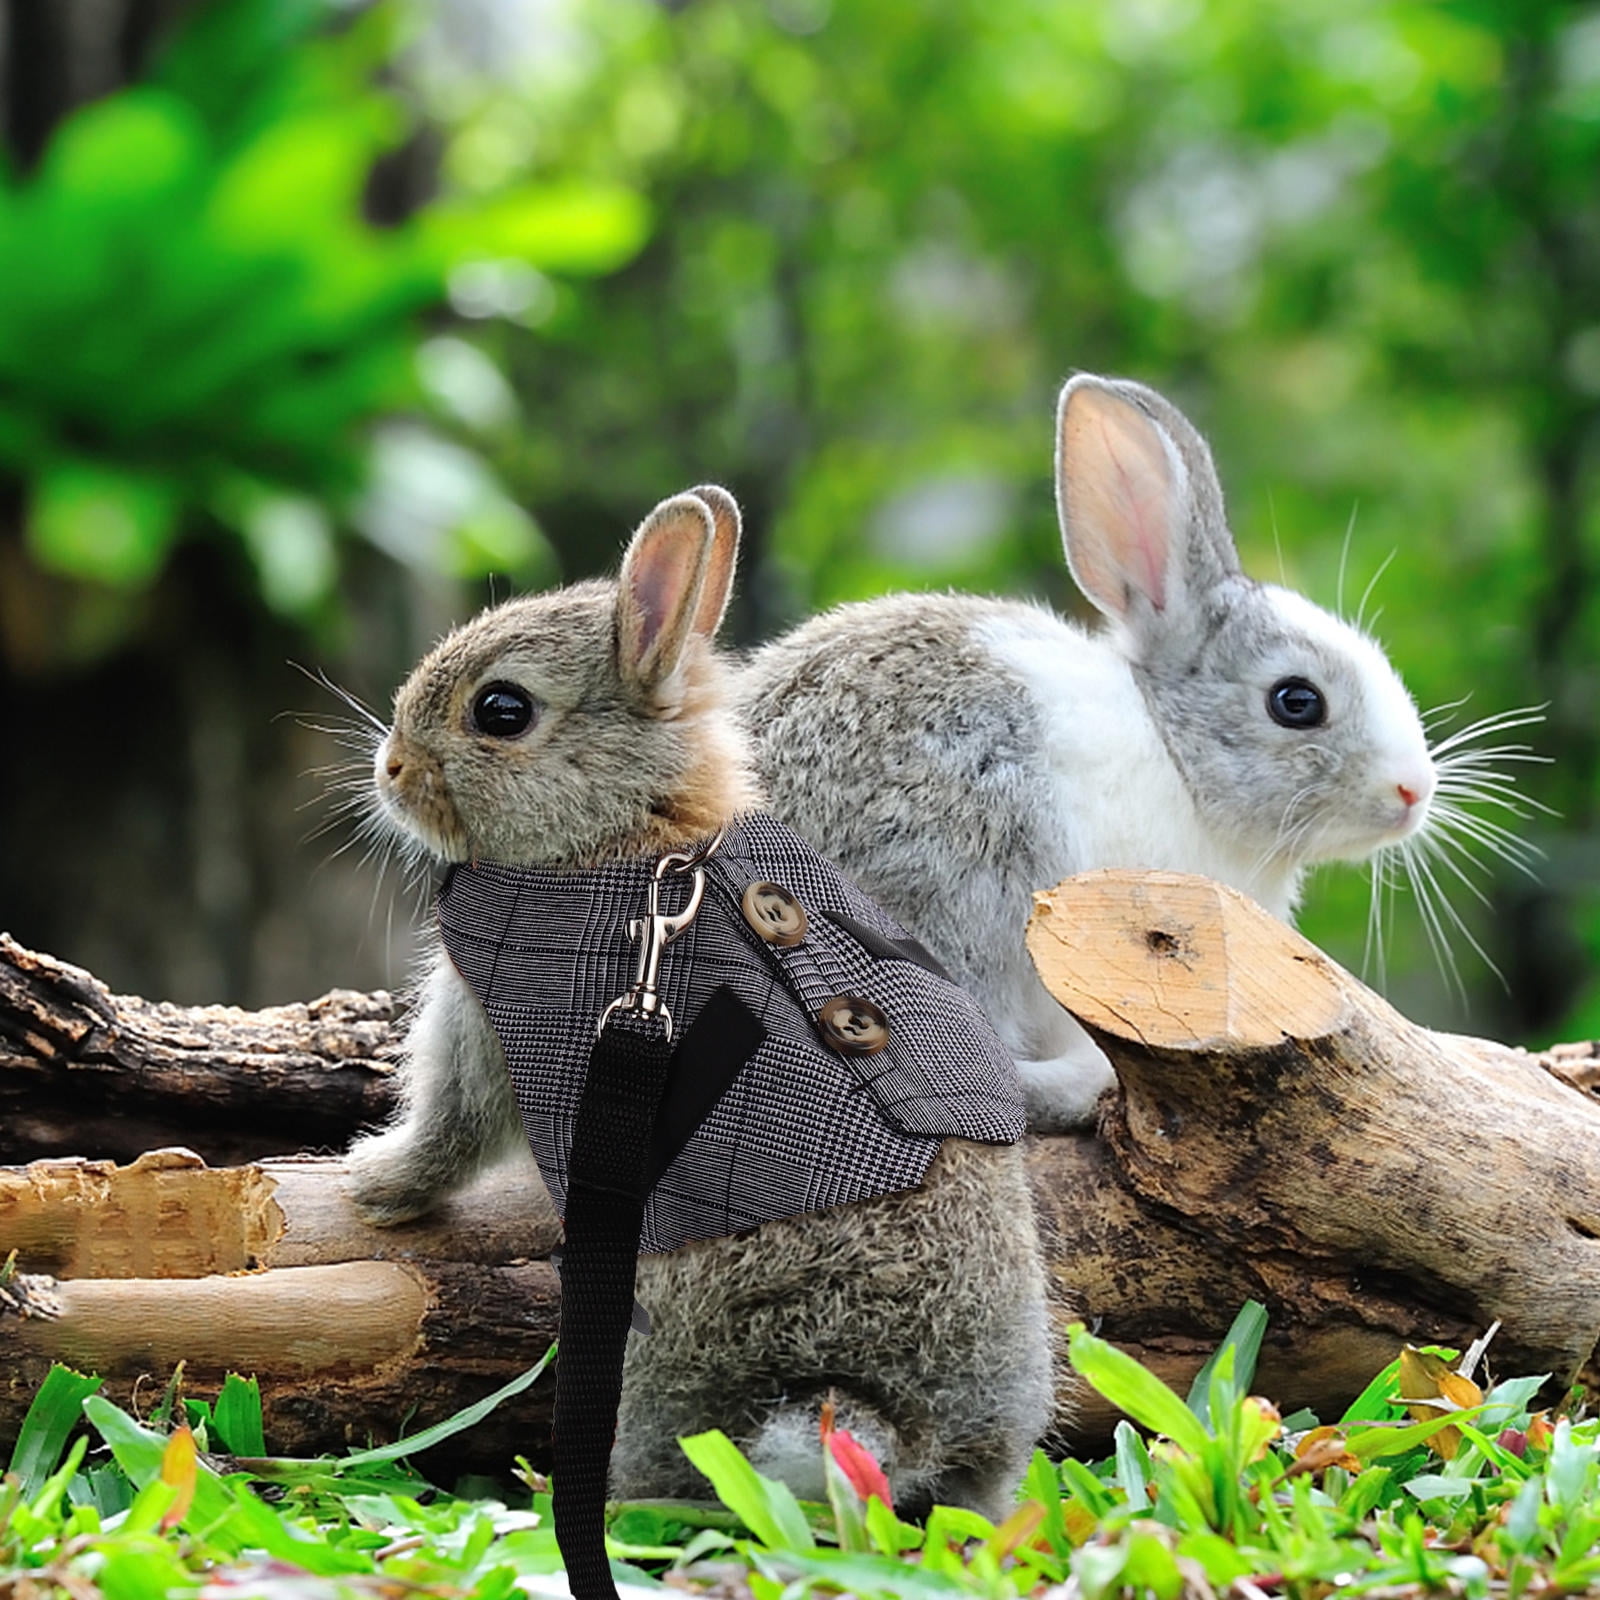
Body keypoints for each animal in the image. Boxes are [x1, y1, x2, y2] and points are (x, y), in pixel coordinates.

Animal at [343, 486, 1056, 1518]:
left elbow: (452, 1129)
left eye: (501, 710)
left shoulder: (488, 1024)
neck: (628, 832)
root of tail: (890, 1415)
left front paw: (374, 1184)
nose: (391, 769)